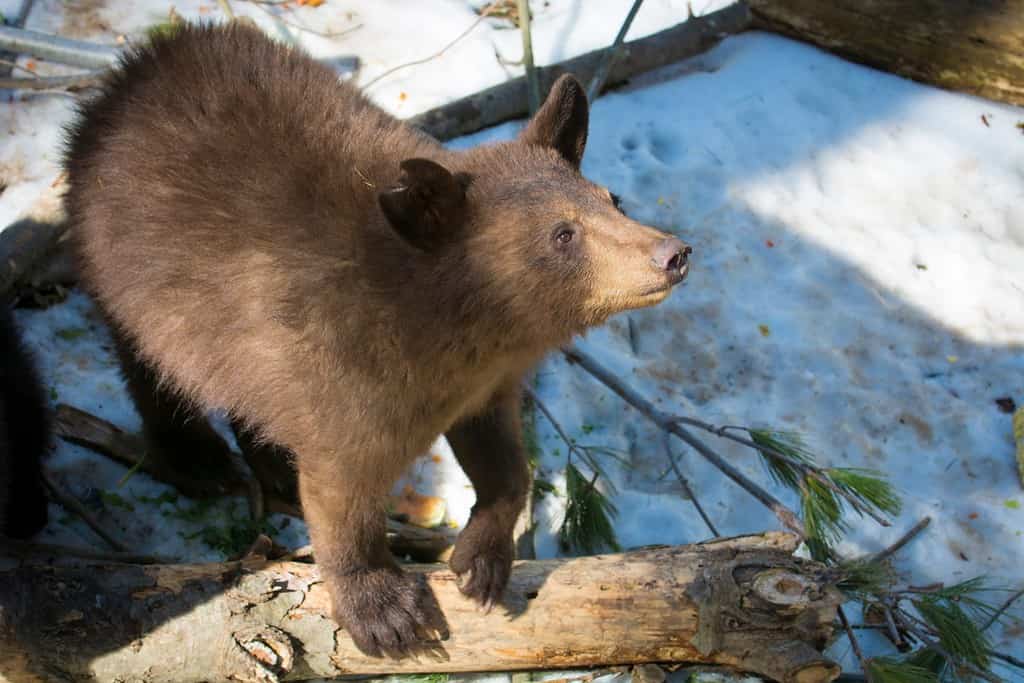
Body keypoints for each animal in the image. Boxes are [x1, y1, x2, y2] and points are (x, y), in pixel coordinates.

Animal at [63, 22, 690, 657]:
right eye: (563, 234)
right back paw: (199, 457)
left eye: (613, 199)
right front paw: (388, 613)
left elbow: (503, 458)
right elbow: (341, 497)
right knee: (149, 363)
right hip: (123, 276)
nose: (673, 253)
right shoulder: (342, 377)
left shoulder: (481, 384)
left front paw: (483, 562)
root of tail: (130, 70)